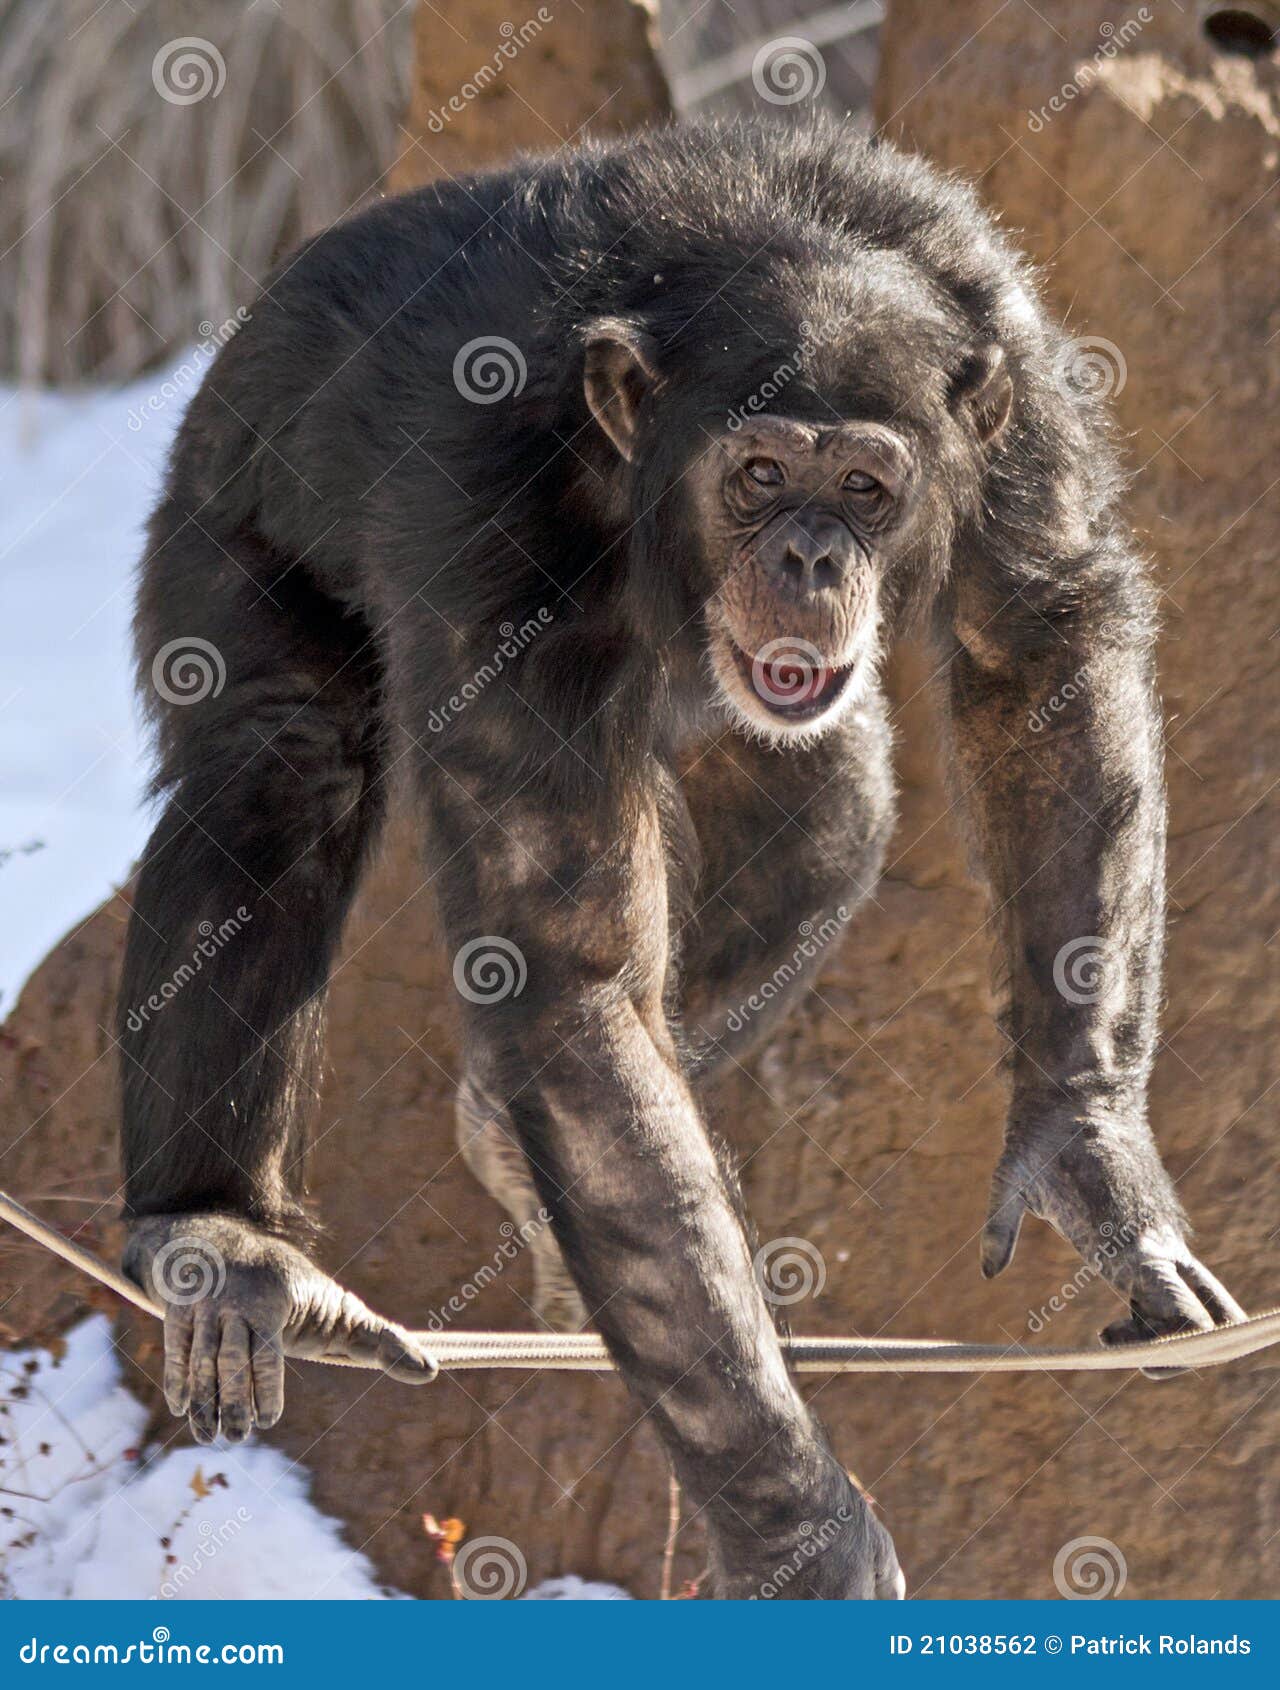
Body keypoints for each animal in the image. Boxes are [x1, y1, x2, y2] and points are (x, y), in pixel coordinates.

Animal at [118, 119, 1244, 1600]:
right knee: (279, 763)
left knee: (831, 796)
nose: (811, 553)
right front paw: (801, 1530)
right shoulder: (487, 531)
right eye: (759, 474)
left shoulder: (1027, 390)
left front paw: (1088, 1157)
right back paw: (213, 1238)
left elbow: (1038, 655)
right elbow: (573, 989)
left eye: (865, 485)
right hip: (232, 482)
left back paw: (494, 1136)